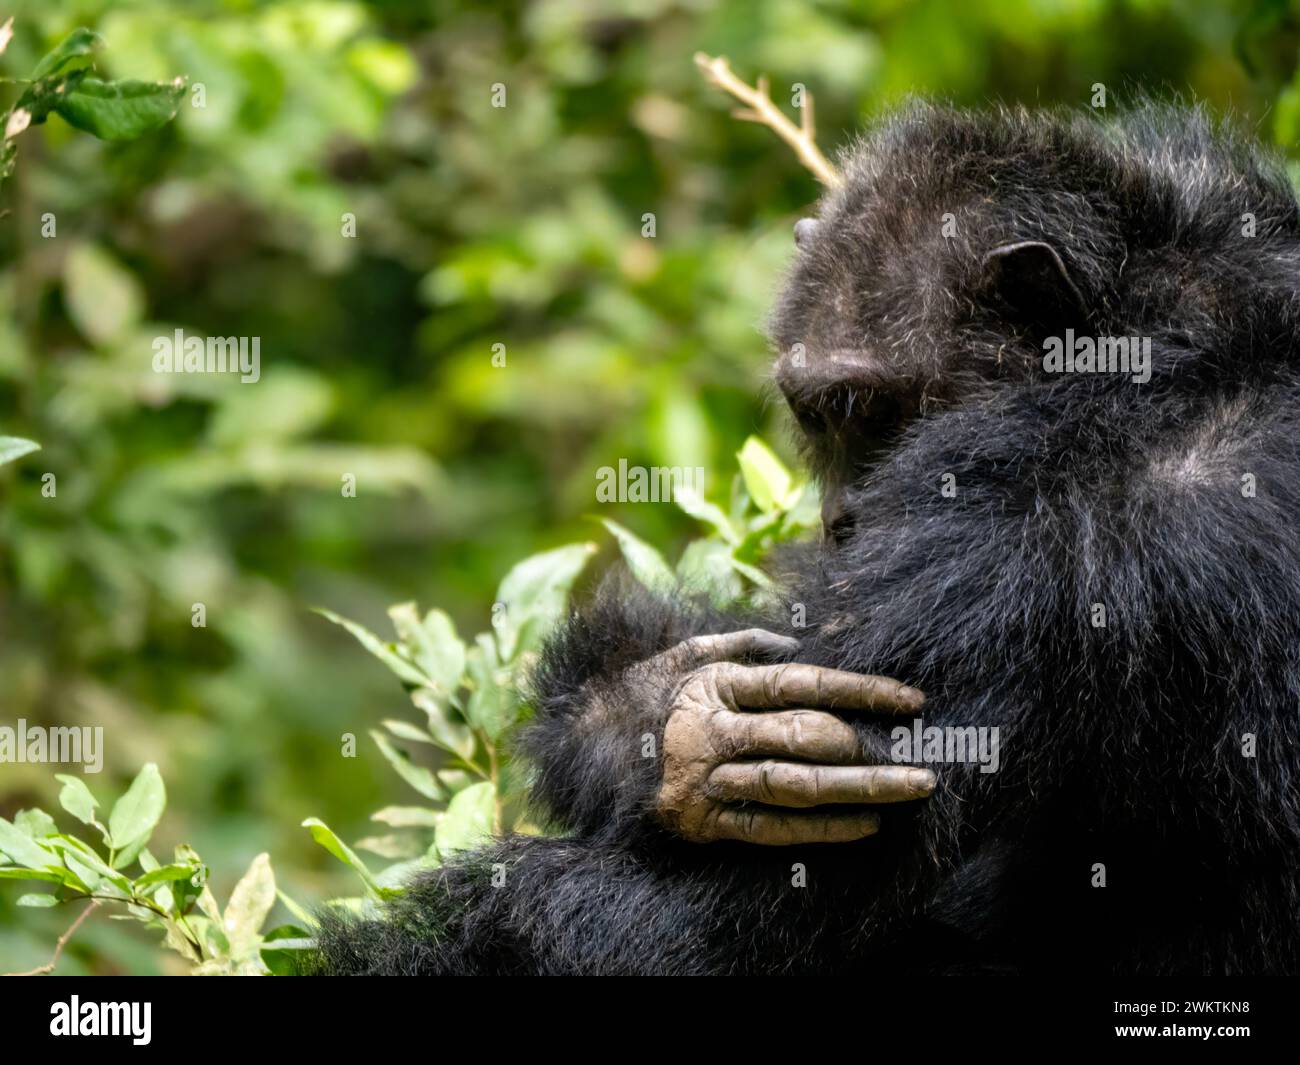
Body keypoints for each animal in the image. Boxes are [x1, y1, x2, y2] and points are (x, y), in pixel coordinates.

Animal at [305, 101, 1300, 975]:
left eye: (869, 407)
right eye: (816, 411)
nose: (841, 516)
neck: (1143, 323)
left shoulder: (1019, 528)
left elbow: (716, 911)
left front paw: (683, 725)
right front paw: (670, 705)